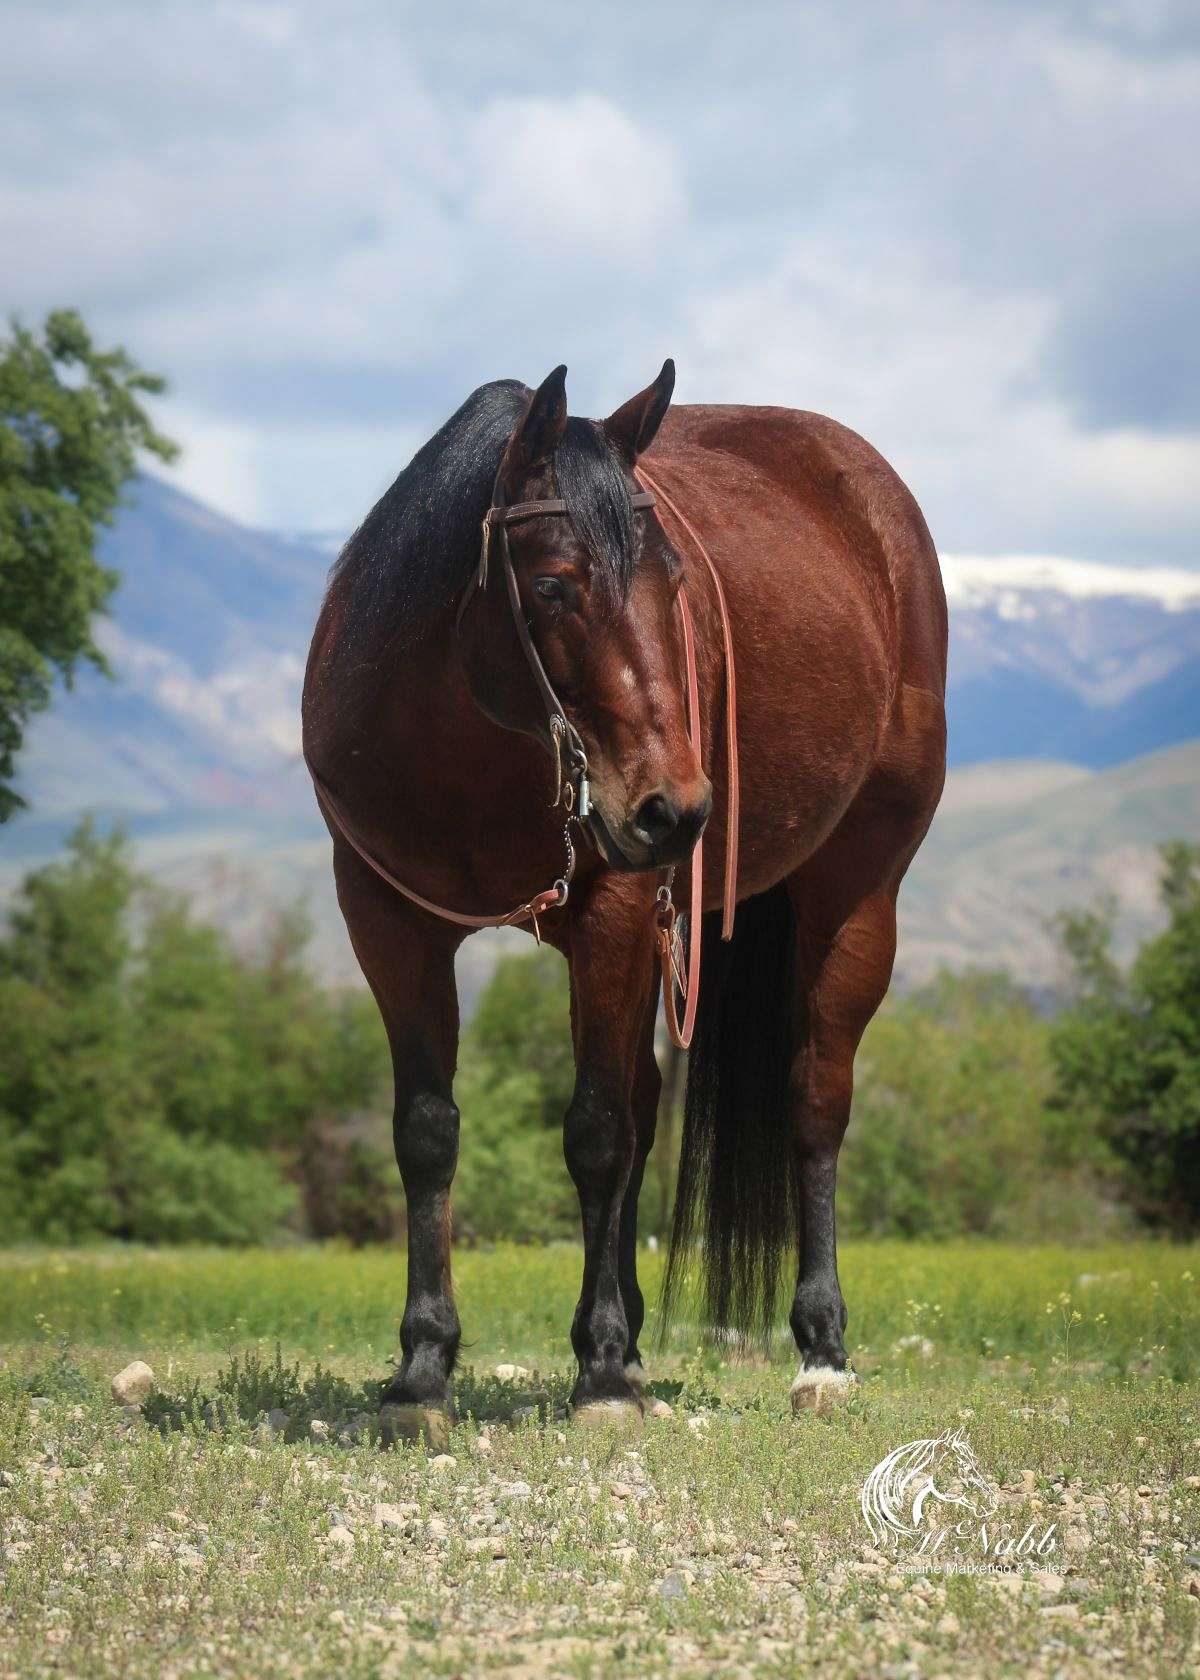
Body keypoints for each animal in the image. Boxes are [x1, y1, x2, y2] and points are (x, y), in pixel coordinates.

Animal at [301, 360, 947, 1436]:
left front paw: (600, 1374)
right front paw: (422, 1372)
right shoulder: (388, 925)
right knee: (650, 1103)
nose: (674, 809)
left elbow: (596, 1133)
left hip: (855, 897)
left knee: (814, 1101)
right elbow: (429, 1132)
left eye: (674, 584)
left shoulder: (612, 914)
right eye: (554, 585)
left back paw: (819, 1352)